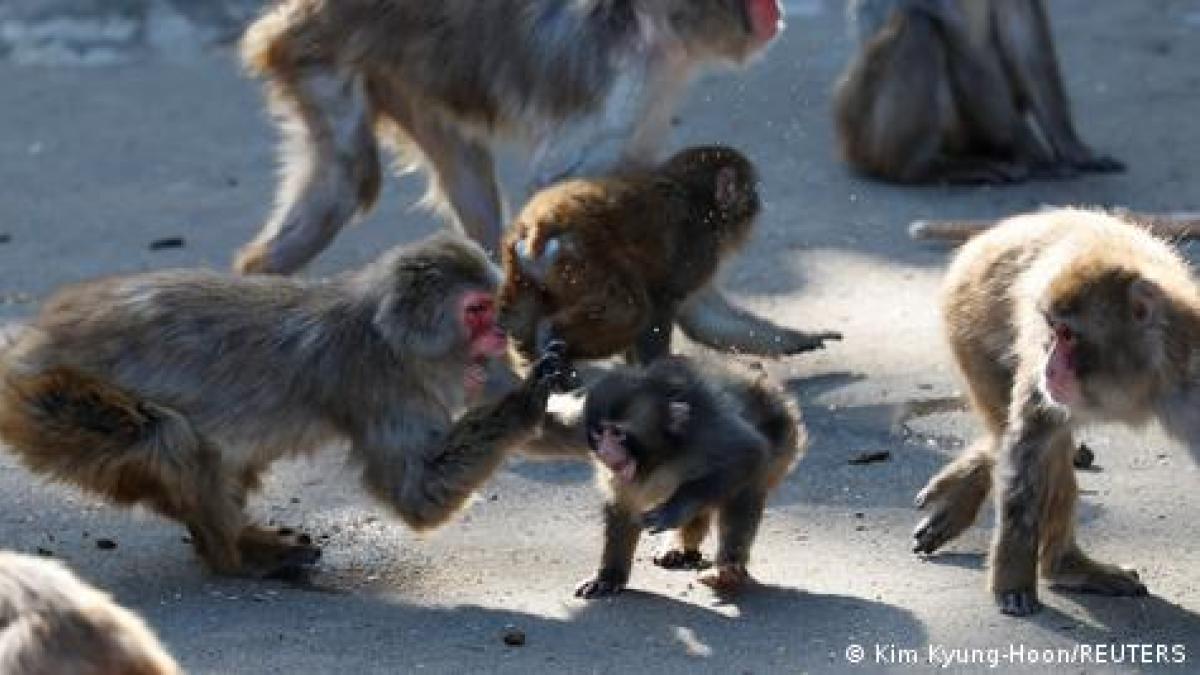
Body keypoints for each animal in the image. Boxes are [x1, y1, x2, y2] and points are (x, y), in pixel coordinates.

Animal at [0, 233, 570, 578]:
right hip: (46, 406)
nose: (501, 331)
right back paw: (233, 554)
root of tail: (27, 343)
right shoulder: (381, 384)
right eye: (477, 310)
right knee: (168, 438)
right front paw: (526, 400)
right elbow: (416, 494)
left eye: (493, 305)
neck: (387, 334)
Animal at [497, 145, 842, 365]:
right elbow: (660, 305)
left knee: (518, 321)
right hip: (578, 256)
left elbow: (703, 318)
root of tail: (535, 225)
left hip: (527, 270)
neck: (698, 199)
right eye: (750, 192)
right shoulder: (700, 248)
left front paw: (801, 340)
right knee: (631, 309)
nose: (757, 203)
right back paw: (553, 336)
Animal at [573, 357, 804, 598]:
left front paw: (675, 508)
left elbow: (749, 451)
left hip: (784, 438)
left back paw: (726, 570)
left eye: (618, 433)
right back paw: (678, 545)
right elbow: (622, 505)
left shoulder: (704, 428)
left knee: (746, 485)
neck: (661, 456)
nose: (605, 451)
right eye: (599, 432)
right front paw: (608, 576)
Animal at [833, 0, 1123, 184]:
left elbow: (1022, 25)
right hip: (860, 119)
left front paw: (1073, 149)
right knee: (919, 25)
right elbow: (954, 27)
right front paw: (1040, 158)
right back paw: (919, 169)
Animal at [911, 208, 1200, 616]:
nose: (1049, 368)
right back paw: (1063, 565)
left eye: (1067, 334)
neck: (1139, 380)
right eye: (1052, 329)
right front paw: (1012, 582)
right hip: (967, 325)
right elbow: (1028, 449)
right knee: (1044, 446)